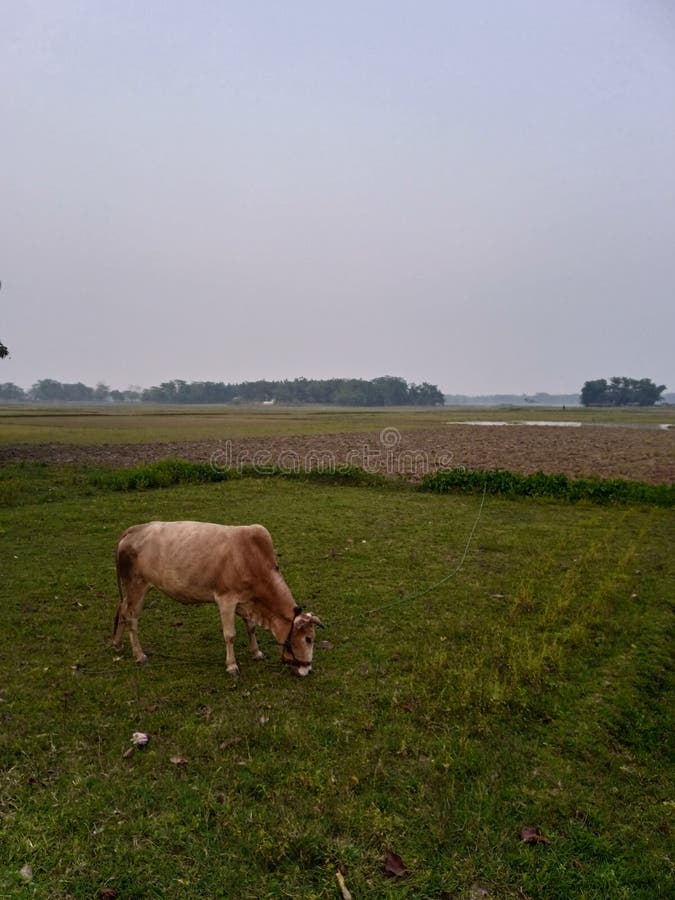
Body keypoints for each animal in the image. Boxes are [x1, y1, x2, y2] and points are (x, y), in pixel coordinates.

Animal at [113, 521, 323, 676]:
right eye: (308, 638)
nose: (308, 669)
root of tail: (135, 529)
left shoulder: (245, 602)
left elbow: (251, 627)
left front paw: (256, 653)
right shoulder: (226, 599)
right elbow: (230, 635)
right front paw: (231, 666)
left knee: (121, 609)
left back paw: (117, 644)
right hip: (136, 585)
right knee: (131, 617)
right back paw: (139, 655)